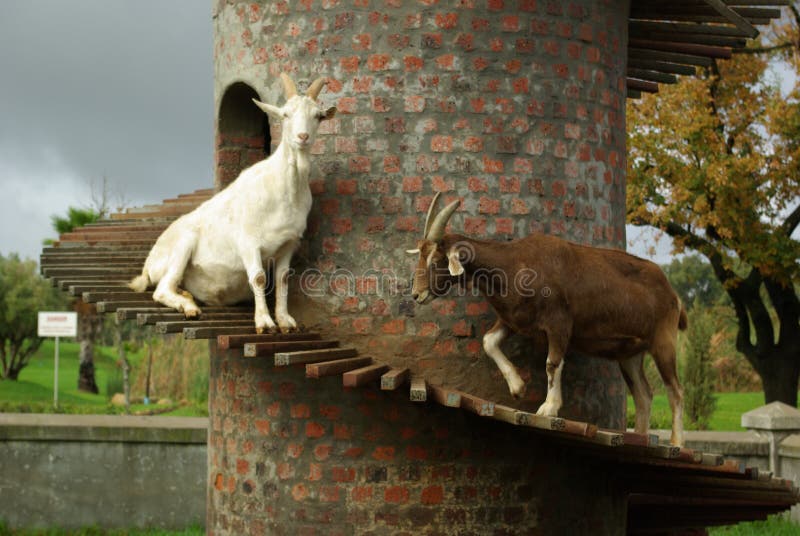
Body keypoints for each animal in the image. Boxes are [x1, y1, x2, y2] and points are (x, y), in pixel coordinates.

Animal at [129, 73, 336, 333]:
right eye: (285, 114)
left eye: (318, 116)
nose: (303, 137)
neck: (282, 189)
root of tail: (148, 265)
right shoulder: (247, 241)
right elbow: (259, 277)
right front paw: (265, 323)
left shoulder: (289, 243)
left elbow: (282, 279)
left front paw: (285, 320)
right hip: (182, 244)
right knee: (162, 289)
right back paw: (188, 307)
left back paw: (186, 295)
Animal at [407, 193, 688, 446]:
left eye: (436, 260)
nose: (416, 295)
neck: (514, 265)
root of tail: (673, 294)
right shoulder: (513, 320)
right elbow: (488, 342)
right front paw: (517, 387)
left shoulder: (559, 323)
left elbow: (552, 363)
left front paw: (548, 408)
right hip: (630, 353)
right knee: (644, 395)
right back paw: (640, 436)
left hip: (663, 341)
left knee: (675, 392)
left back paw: (676, 442)